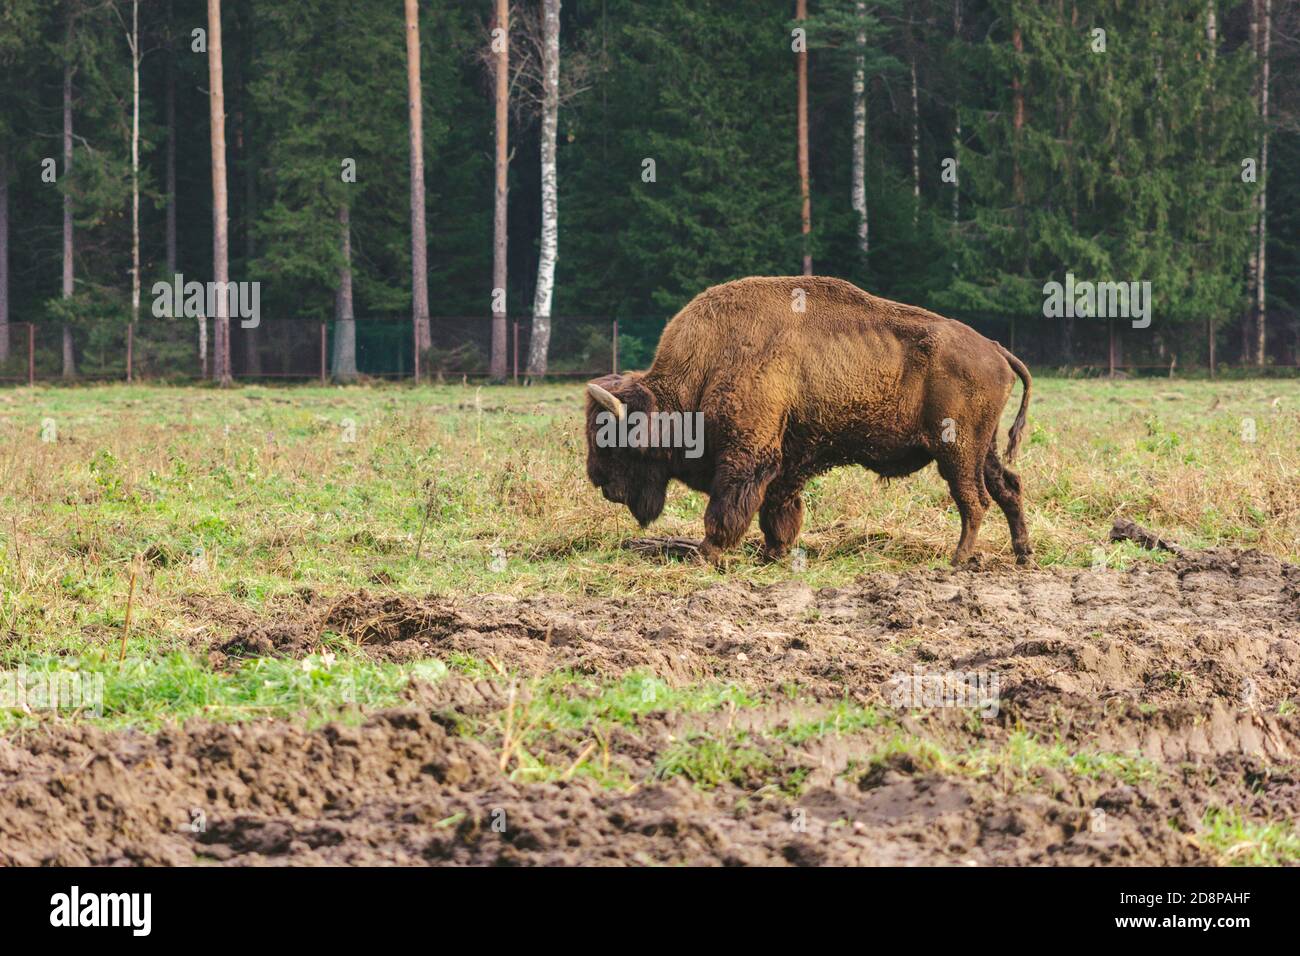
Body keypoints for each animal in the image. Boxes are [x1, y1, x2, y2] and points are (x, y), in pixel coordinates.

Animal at [585, 276, 1031, 567]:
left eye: (612, 438)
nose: (600, 482)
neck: (703, 368)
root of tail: (994, 348)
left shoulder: (746, 455)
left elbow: (727, 508)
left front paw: (707, 554)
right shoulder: (786, 461)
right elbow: (779, 509)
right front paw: (774, 554)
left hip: (956, 450)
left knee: (973, 500)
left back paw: (957, 560)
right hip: (982, 448)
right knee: (1007, 488)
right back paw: (1022, 554)